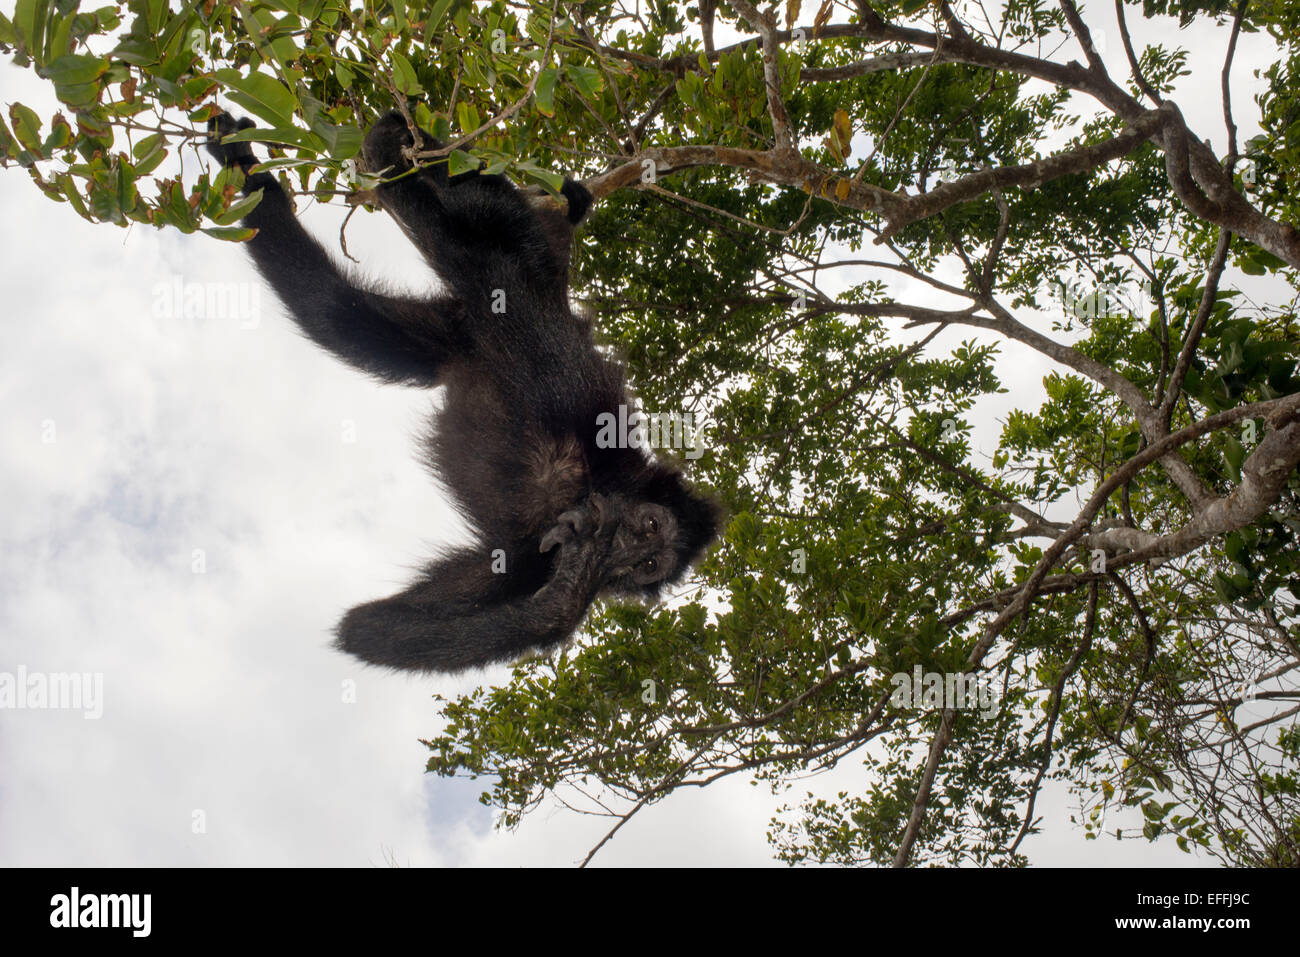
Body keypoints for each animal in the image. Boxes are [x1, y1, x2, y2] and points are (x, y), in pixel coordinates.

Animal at [204, 110, 721, 673]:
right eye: (648, 529)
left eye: (647, 564)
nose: (622, 562)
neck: (587, 479)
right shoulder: (573, 392)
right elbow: (483, 255)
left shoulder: (533, 552)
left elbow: (369, 628)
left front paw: (570, 591)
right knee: (474, 240)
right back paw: (380, 164)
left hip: (447, 340)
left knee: (334, 310)